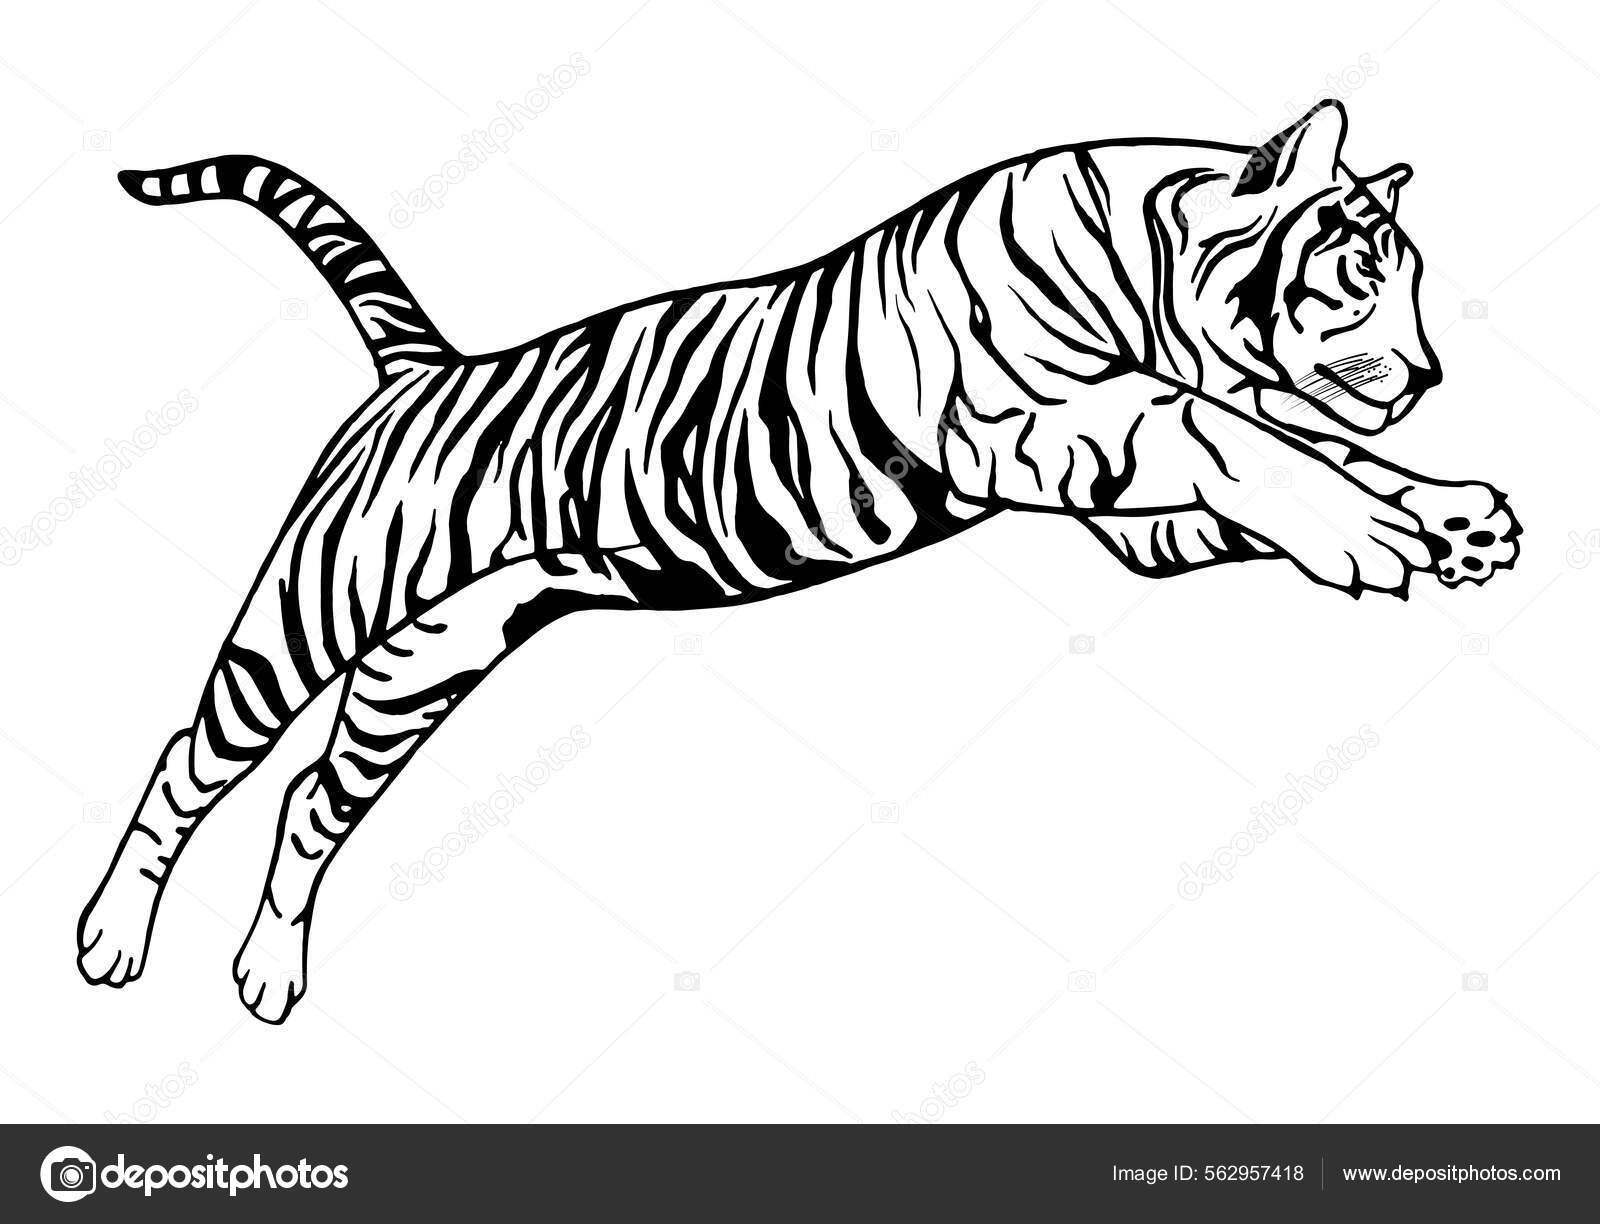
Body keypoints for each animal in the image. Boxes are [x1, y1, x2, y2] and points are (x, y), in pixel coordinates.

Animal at [78, 99, 1519, 1023]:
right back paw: (107, 940)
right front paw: (1376, 532)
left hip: (419, 674)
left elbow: (1284, 452)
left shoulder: (1129, 522)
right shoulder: (1046, 432)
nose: (1435, 376)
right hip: (309, 621)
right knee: (189, 765)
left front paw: (1448, 515)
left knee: (309, 805)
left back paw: (268, 977)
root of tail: (421, 366)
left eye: (1412, 278)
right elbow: (1234, 433)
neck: (1132, 261)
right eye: (1357, 280)